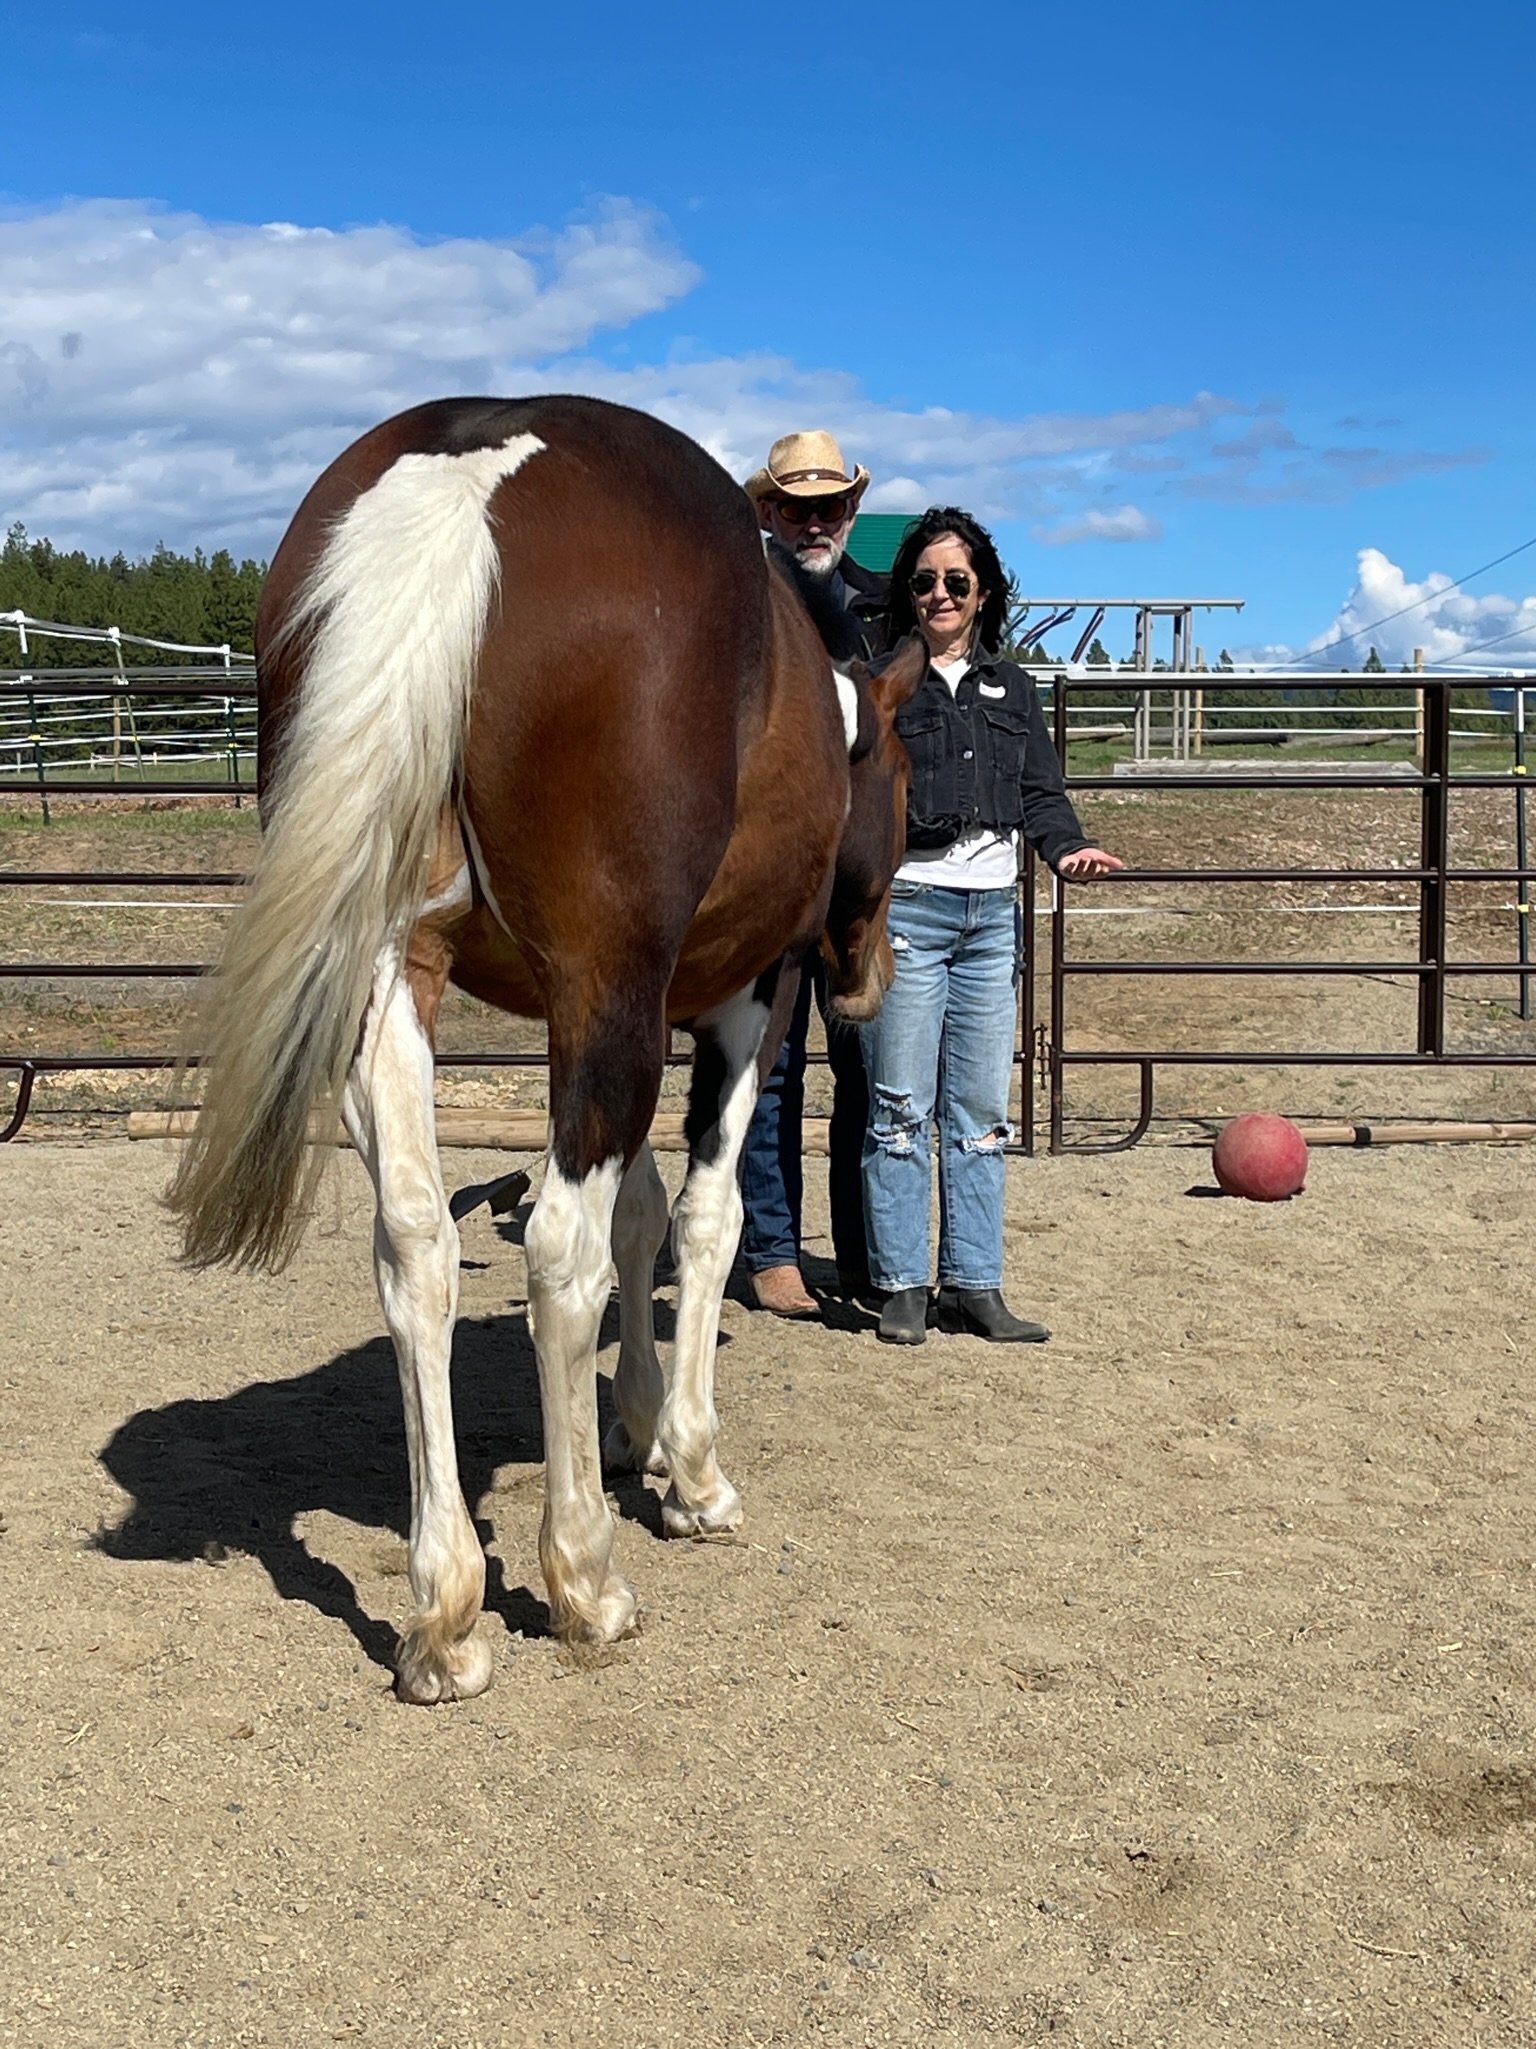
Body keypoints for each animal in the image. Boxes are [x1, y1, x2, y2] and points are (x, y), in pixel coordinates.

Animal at [165, 394, 925, 1703]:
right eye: (913, 780)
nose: (870, 981)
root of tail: (473, 473)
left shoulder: (644, 1014)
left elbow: (642, 1216)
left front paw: (633, 1427)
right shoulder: (738, 1002)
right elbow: (701, 1217)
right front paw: (689, 1469)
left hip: (394, 978)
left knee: (414, 1240)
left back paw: (446, 1612)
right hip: (599, 990)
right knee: (557, 1250)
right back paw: (583, 1578)